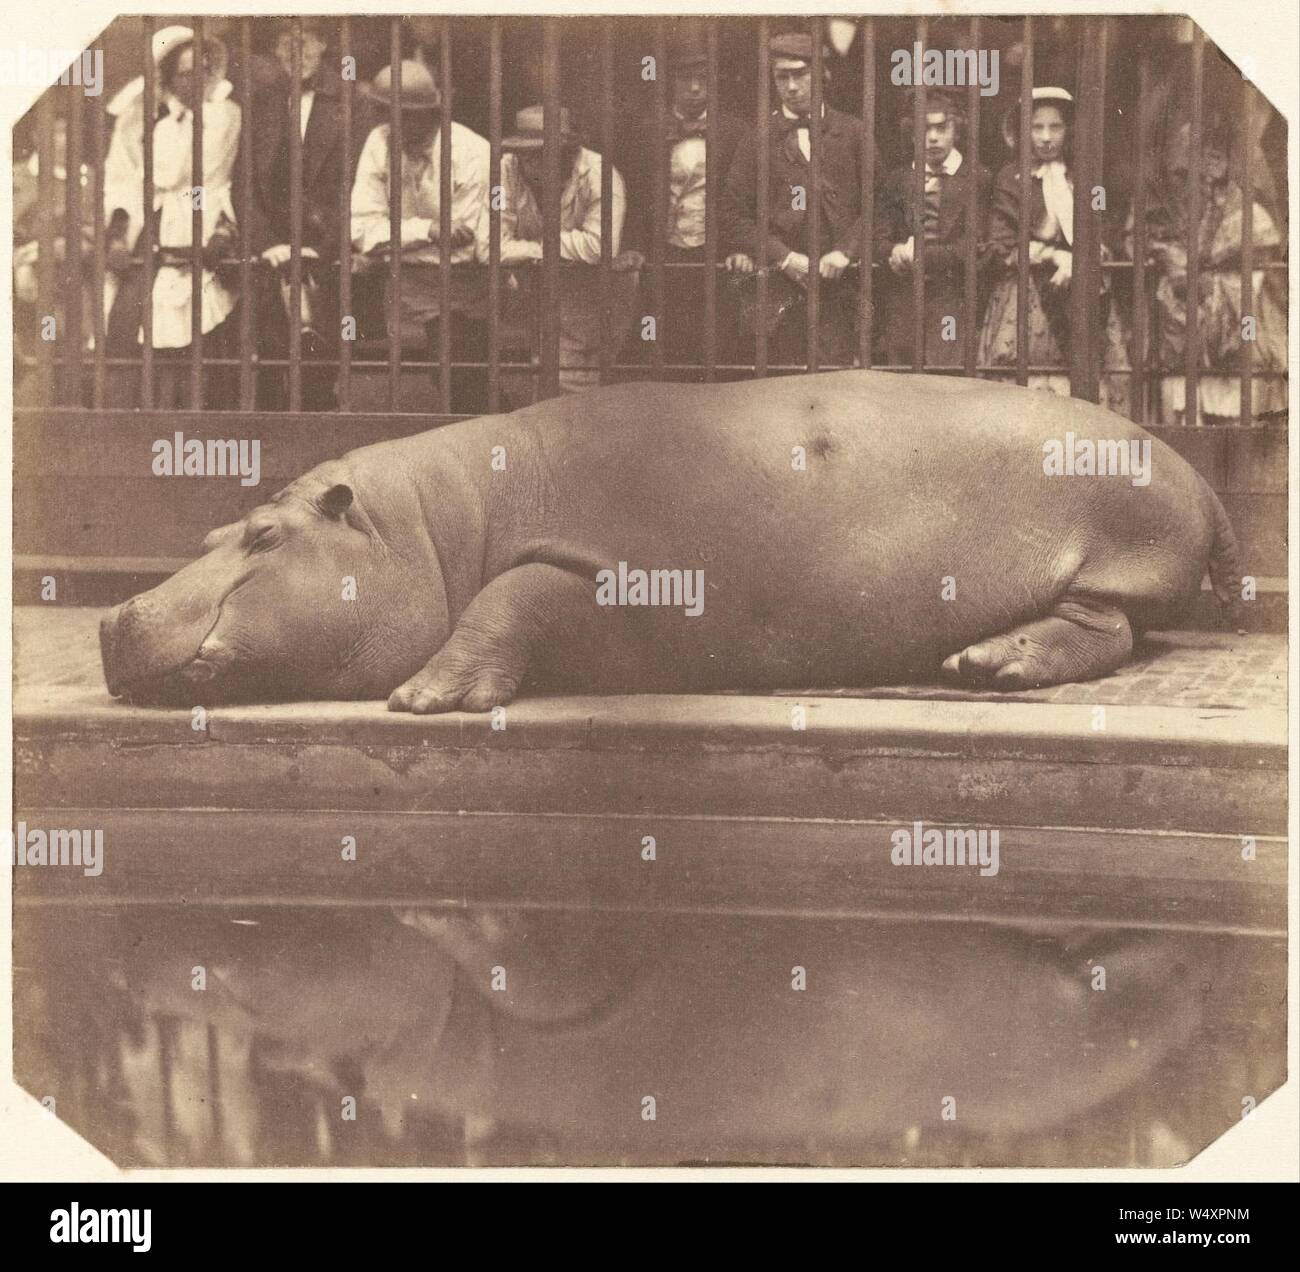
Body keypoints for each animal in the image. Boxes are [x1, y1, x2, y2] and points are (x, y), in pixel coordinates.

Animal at [99, 369, 1241, 707]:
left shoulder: (604, 563)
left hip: (1117, 558)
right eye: (215, 522)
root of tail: (1199, 474)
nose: (113, 614)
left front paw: (425, 697)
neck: (431, 527)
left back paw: (991, 664)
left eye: (261, 534)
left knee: (1105, 630)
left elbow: (509, 596)